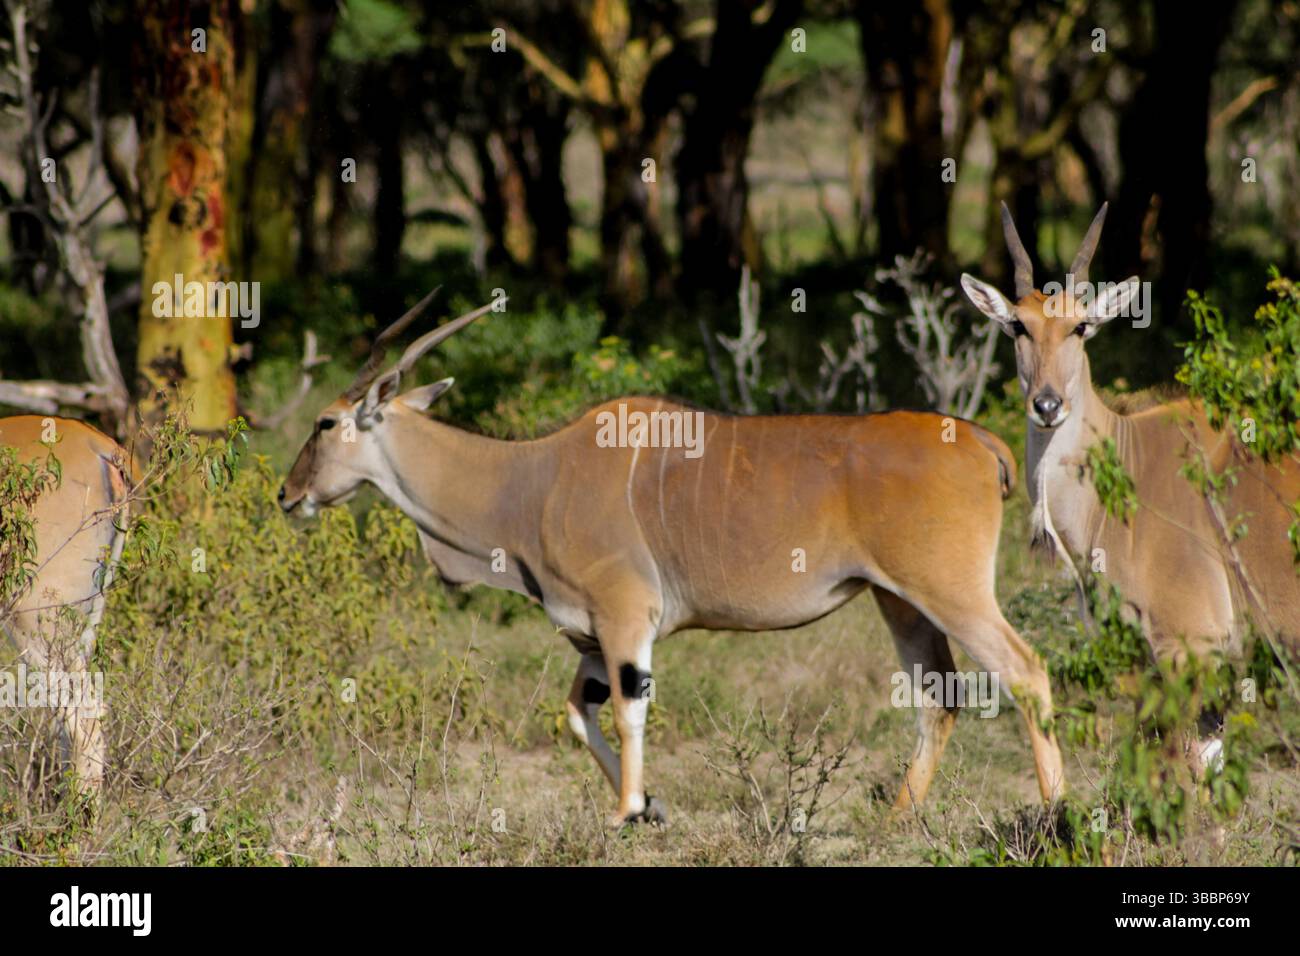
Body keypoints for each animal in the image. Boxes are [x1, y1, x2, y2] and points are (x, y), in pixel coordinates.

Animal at [279, 291, 1065, 825]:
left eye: (325, 422)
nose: (288, 494)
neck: (534, 479)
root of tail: (974, 437)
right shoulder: (595, 638)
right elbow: (579, 713)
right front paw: (650, 805)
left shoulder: (626, 620)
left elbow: (629, 711)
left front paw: (628, 813)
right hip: (899, 601)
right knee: (938, 695)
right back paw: (899, 815)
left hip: (950, 593)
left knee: (1026, 672)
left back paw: (1056, 816)